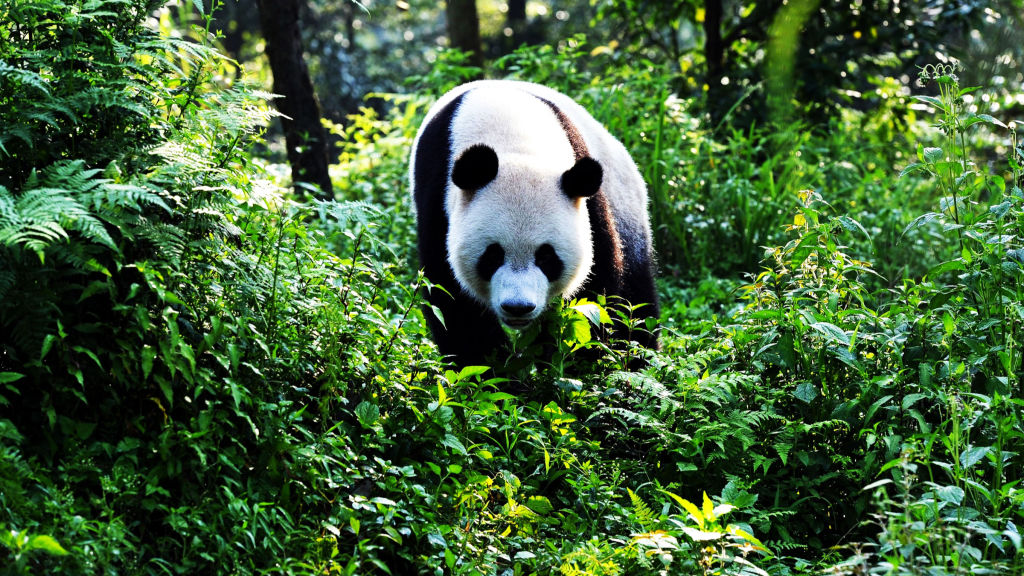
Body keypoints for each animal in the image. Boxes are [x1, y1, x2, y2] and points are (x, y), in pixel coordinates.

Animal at [409, 79, 659, 366]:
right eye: (492, 255)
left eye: (547, 257)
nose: (517, 307)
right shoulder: (438, 199)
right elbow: (453, 299)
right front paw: (494, 367)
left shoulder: (588, 202)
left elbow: (595, 291)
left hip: (626, 207)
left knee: (636, 297)